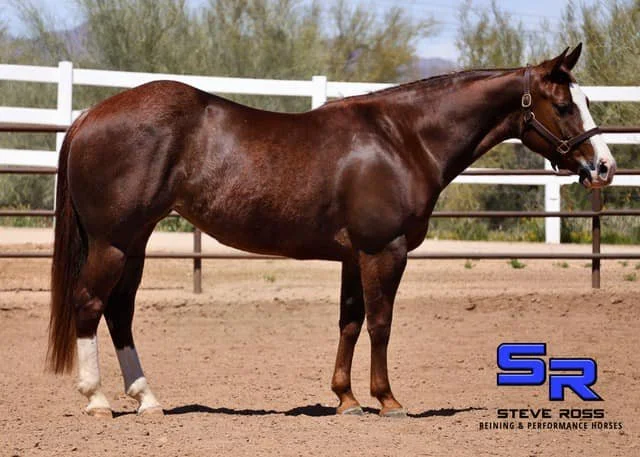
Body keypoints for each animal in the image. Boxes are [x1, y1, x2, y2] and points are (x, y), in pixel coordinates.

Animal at [48, 44, 616, 418]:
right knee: (90, 306)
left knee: (120, 313)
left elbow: (349, 323)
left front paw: (345, 398)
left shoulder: (353, 256)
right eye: (564, 105)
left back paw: (147, 399)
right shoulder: (384, 251)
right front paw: (387, 400)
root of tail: (89, 115)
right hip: (113, 243)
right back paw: (98, 400)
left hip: (135, 243)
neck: (402, 138)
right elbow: (381, 324)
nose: (604, 167)